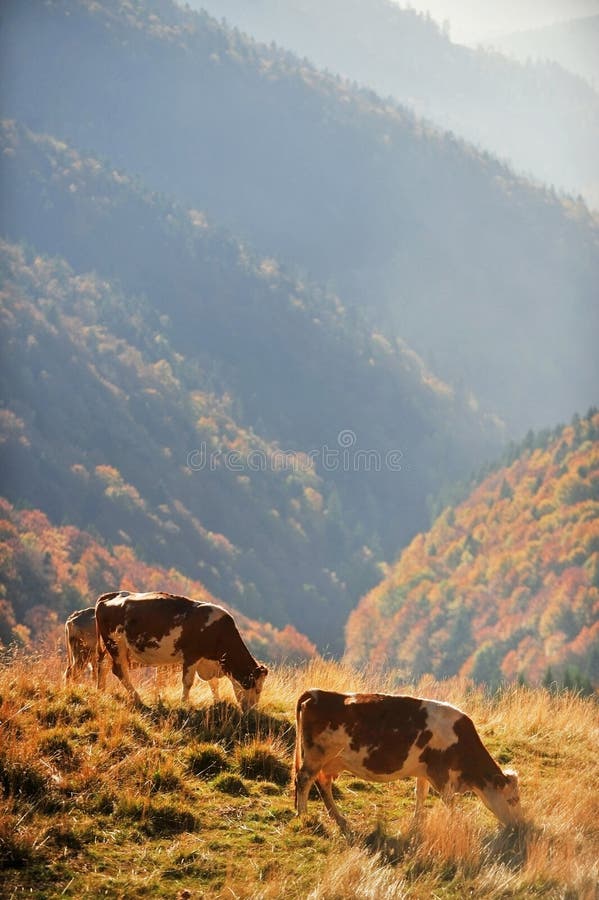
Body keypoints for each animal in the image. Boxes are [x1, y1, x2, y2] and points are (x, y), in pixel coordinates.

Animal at [95, 591, 268, 710]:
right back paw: (137, 698)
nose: (252, 710)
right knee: (120, 671)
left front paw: (217, 701)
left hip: (113, 649)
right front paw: (184, 703)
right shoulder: (192, 655)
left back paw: (101, 691)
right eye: (257, 688)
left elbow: (214, 683)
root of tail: (109, 596)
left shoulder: (206, 661)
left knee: (104, 666)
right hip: (116, 645)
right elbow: (188, 682)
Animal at [294, 689, 523, 833]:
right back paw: (303, 815)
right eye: (512, 799)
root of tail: (316, 693)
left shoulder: (424, 772)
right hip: (316, 756)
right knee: (303, 780)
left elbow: (420, 795)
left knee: (323, 783)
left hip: (329, 761)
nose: (517, 825)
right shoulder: (440, 774)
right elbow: (449, 802)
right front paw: (455, 824)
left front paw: (417, 823)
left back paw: (339, 818)